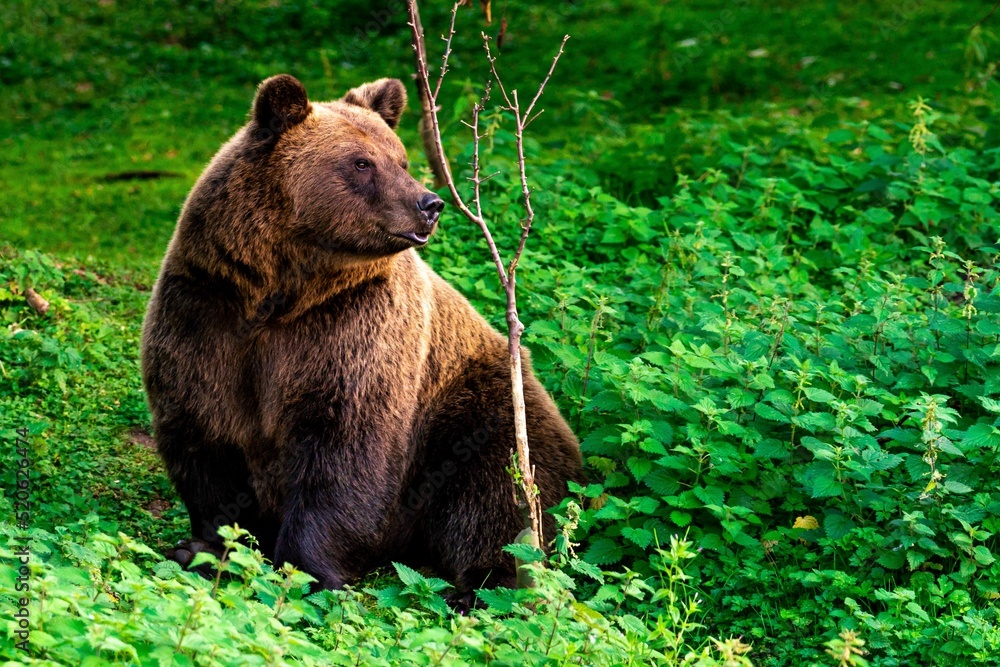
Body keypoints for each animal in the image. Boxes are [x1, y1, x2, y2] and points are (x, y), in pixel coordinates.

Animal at [140, 74, 583, 601]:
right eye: (361, 163)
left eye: (401, 159)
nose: (429, 204)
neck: (282, 293)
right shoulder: (207, 314)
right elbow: (205, 434)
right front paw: (201, 548)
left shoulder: (355, 329)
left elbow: (346, 449)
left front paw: (306, 570)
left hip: (480, 413)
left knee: (502, 497)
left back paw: (477, 587)